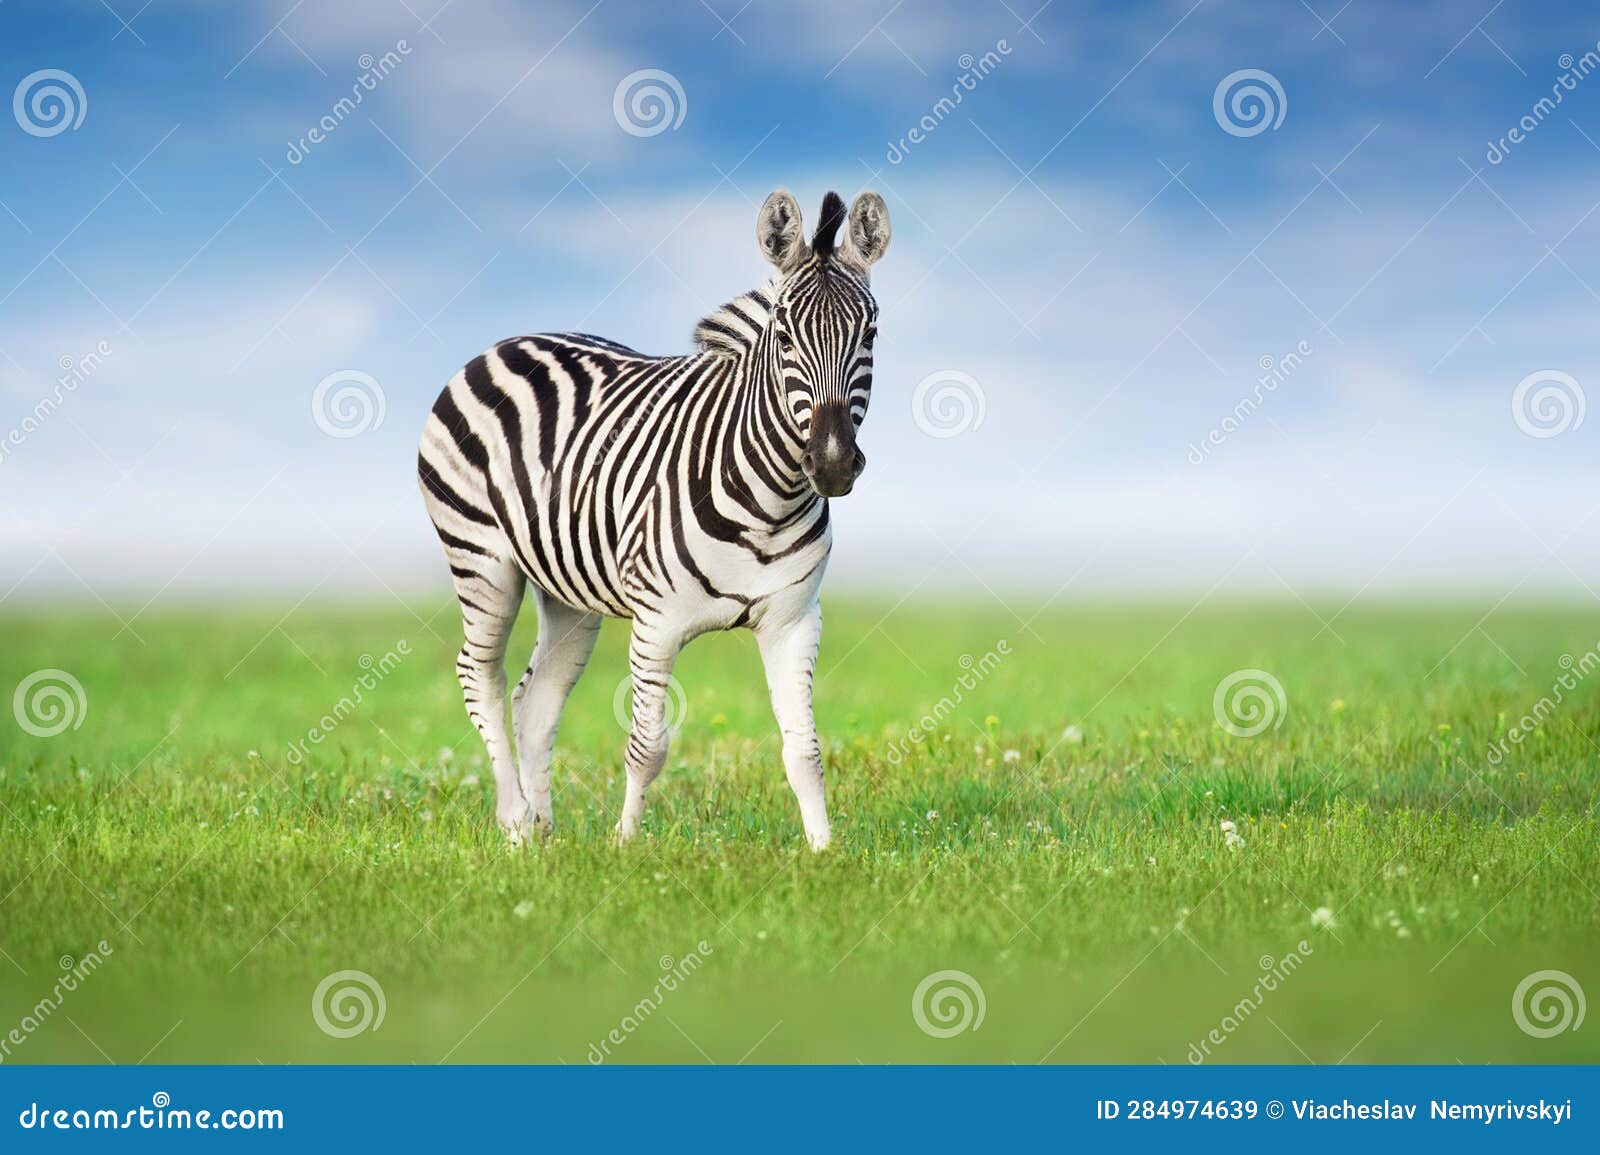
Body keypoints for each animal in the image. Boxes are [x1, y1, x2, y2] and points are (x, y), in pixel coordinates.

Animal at [417, 189, 891, 850]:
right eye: (783, 335)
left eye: (870, 331)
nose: (832, 463)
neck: (768, 504)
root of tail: (506, 342)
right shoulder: (656, 624)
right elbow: (647, 747)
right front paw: (625, 845)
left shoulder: (794, 619)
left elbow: (805, 752)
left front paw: (824, 852)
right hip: (480, 558)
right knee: (479, 673)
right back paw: (514, 823)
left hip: (566, 587)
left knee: (537, 697)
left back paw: (543, 835)